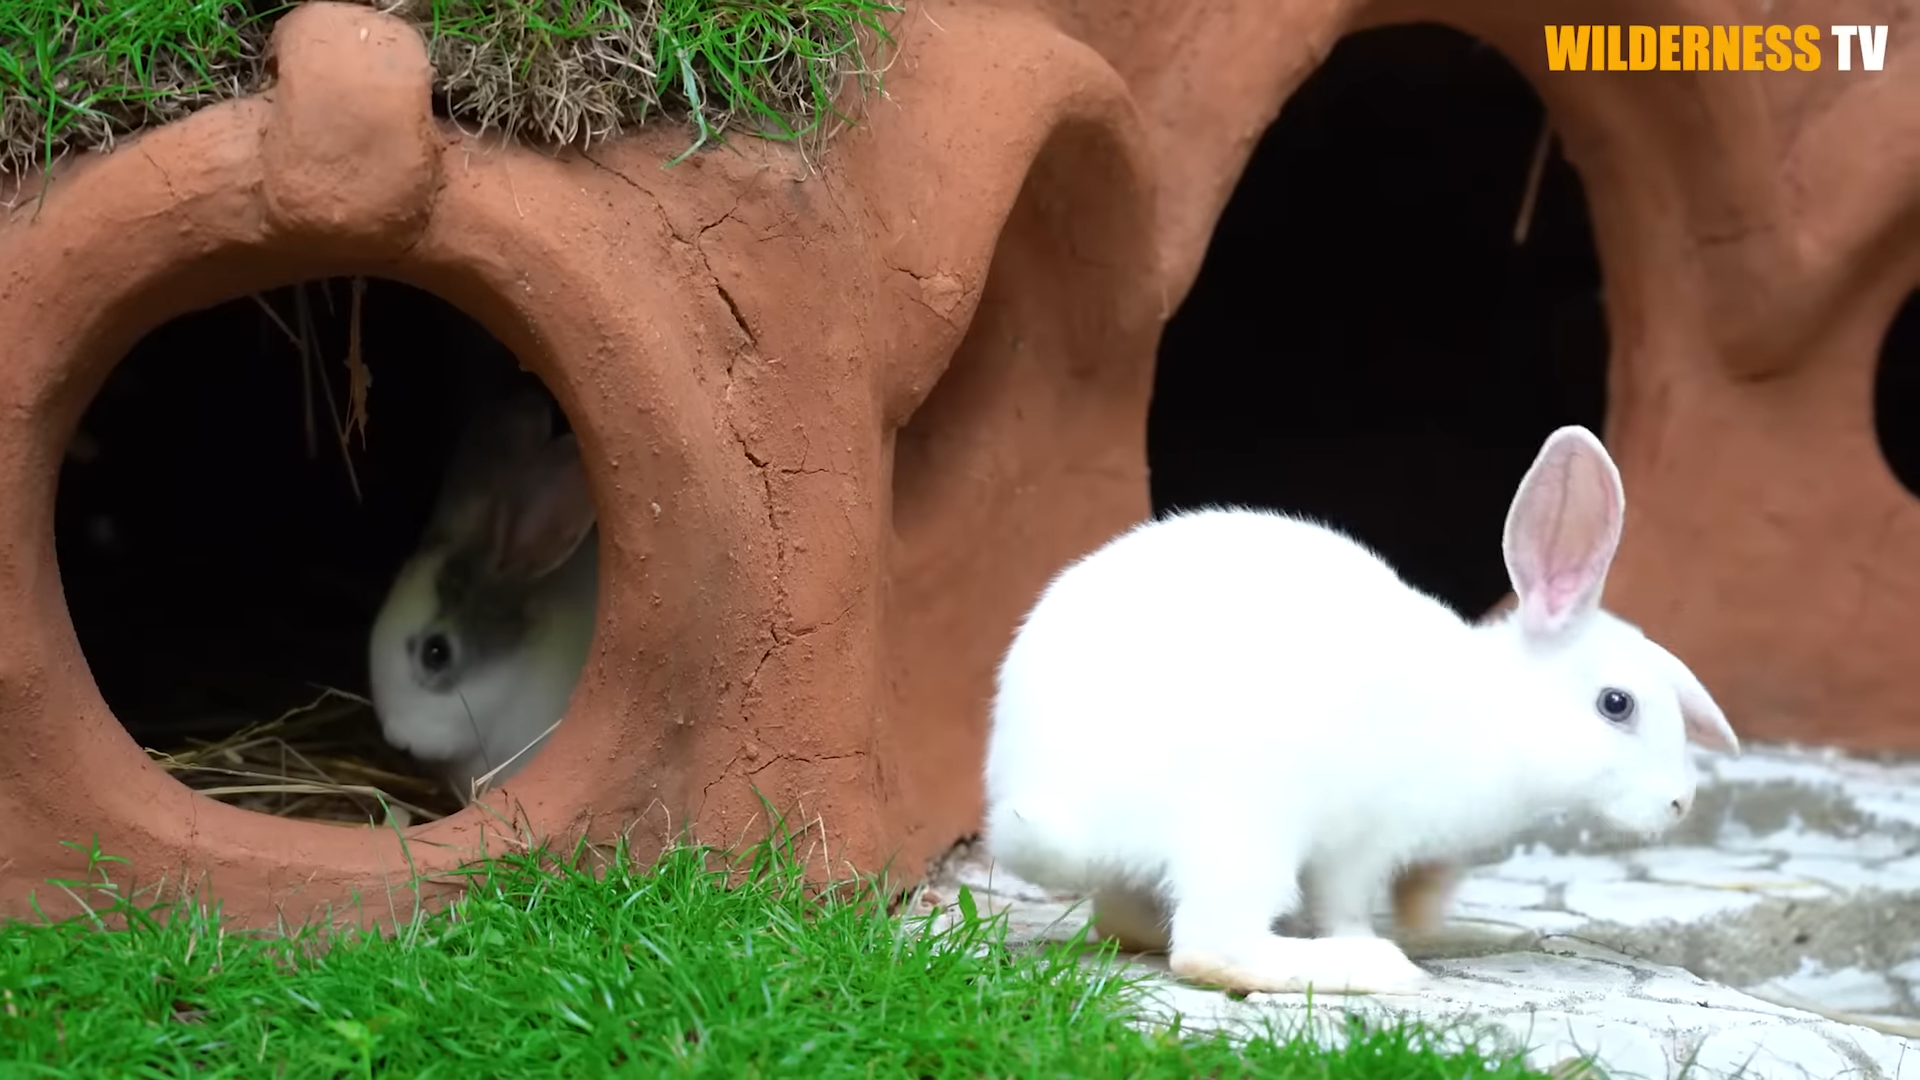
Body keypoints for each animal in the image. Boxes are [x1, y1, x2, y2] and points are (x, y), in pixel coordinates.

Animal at [981, 425, 1740, 997]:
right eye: (1617, 705)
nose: (1679, 804)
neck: (1496, 710)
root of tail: (1050, 804)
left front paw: (1438, 921)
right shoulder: (1362, 844)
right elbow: (1346, 902)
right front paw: (1368, 939)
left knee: (1128, 923)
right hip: (1248, 827)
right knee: (1208, 947)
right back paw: (1370, 968)